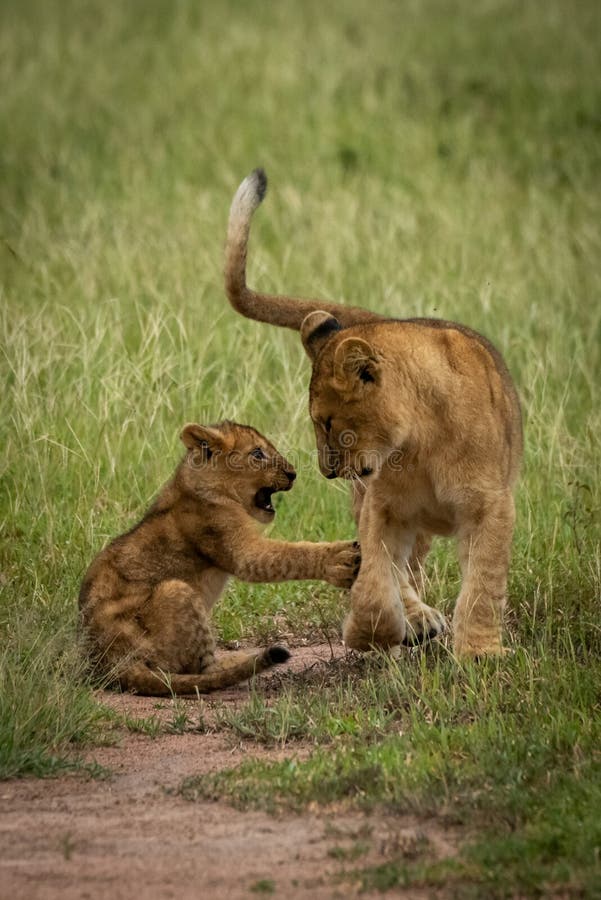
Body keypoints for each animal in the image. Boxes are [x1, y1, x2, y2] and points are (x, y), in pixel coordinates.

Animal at [79, 420, 360, 694]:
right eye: (257, 453)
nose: (293, 473)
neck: (197, 485)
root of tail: (112, 662)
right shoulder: (240, 550)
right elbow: (290, 555)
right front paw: (339, 559)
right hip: (175, 590)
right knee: (199, 670)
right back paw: (239, 662)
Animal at [223, 169, 523, 658]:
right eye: (317, 424)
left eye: (329, 423)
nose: (325, 472)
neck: (419, 442)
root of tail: (378, 317)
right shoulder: (383, 507)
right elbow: (377, 582)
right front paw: (369, 633)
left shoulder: (490, 505)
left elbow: (483, 582)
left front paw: (479, 654)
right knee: (404, 571)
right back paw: (416, 621)